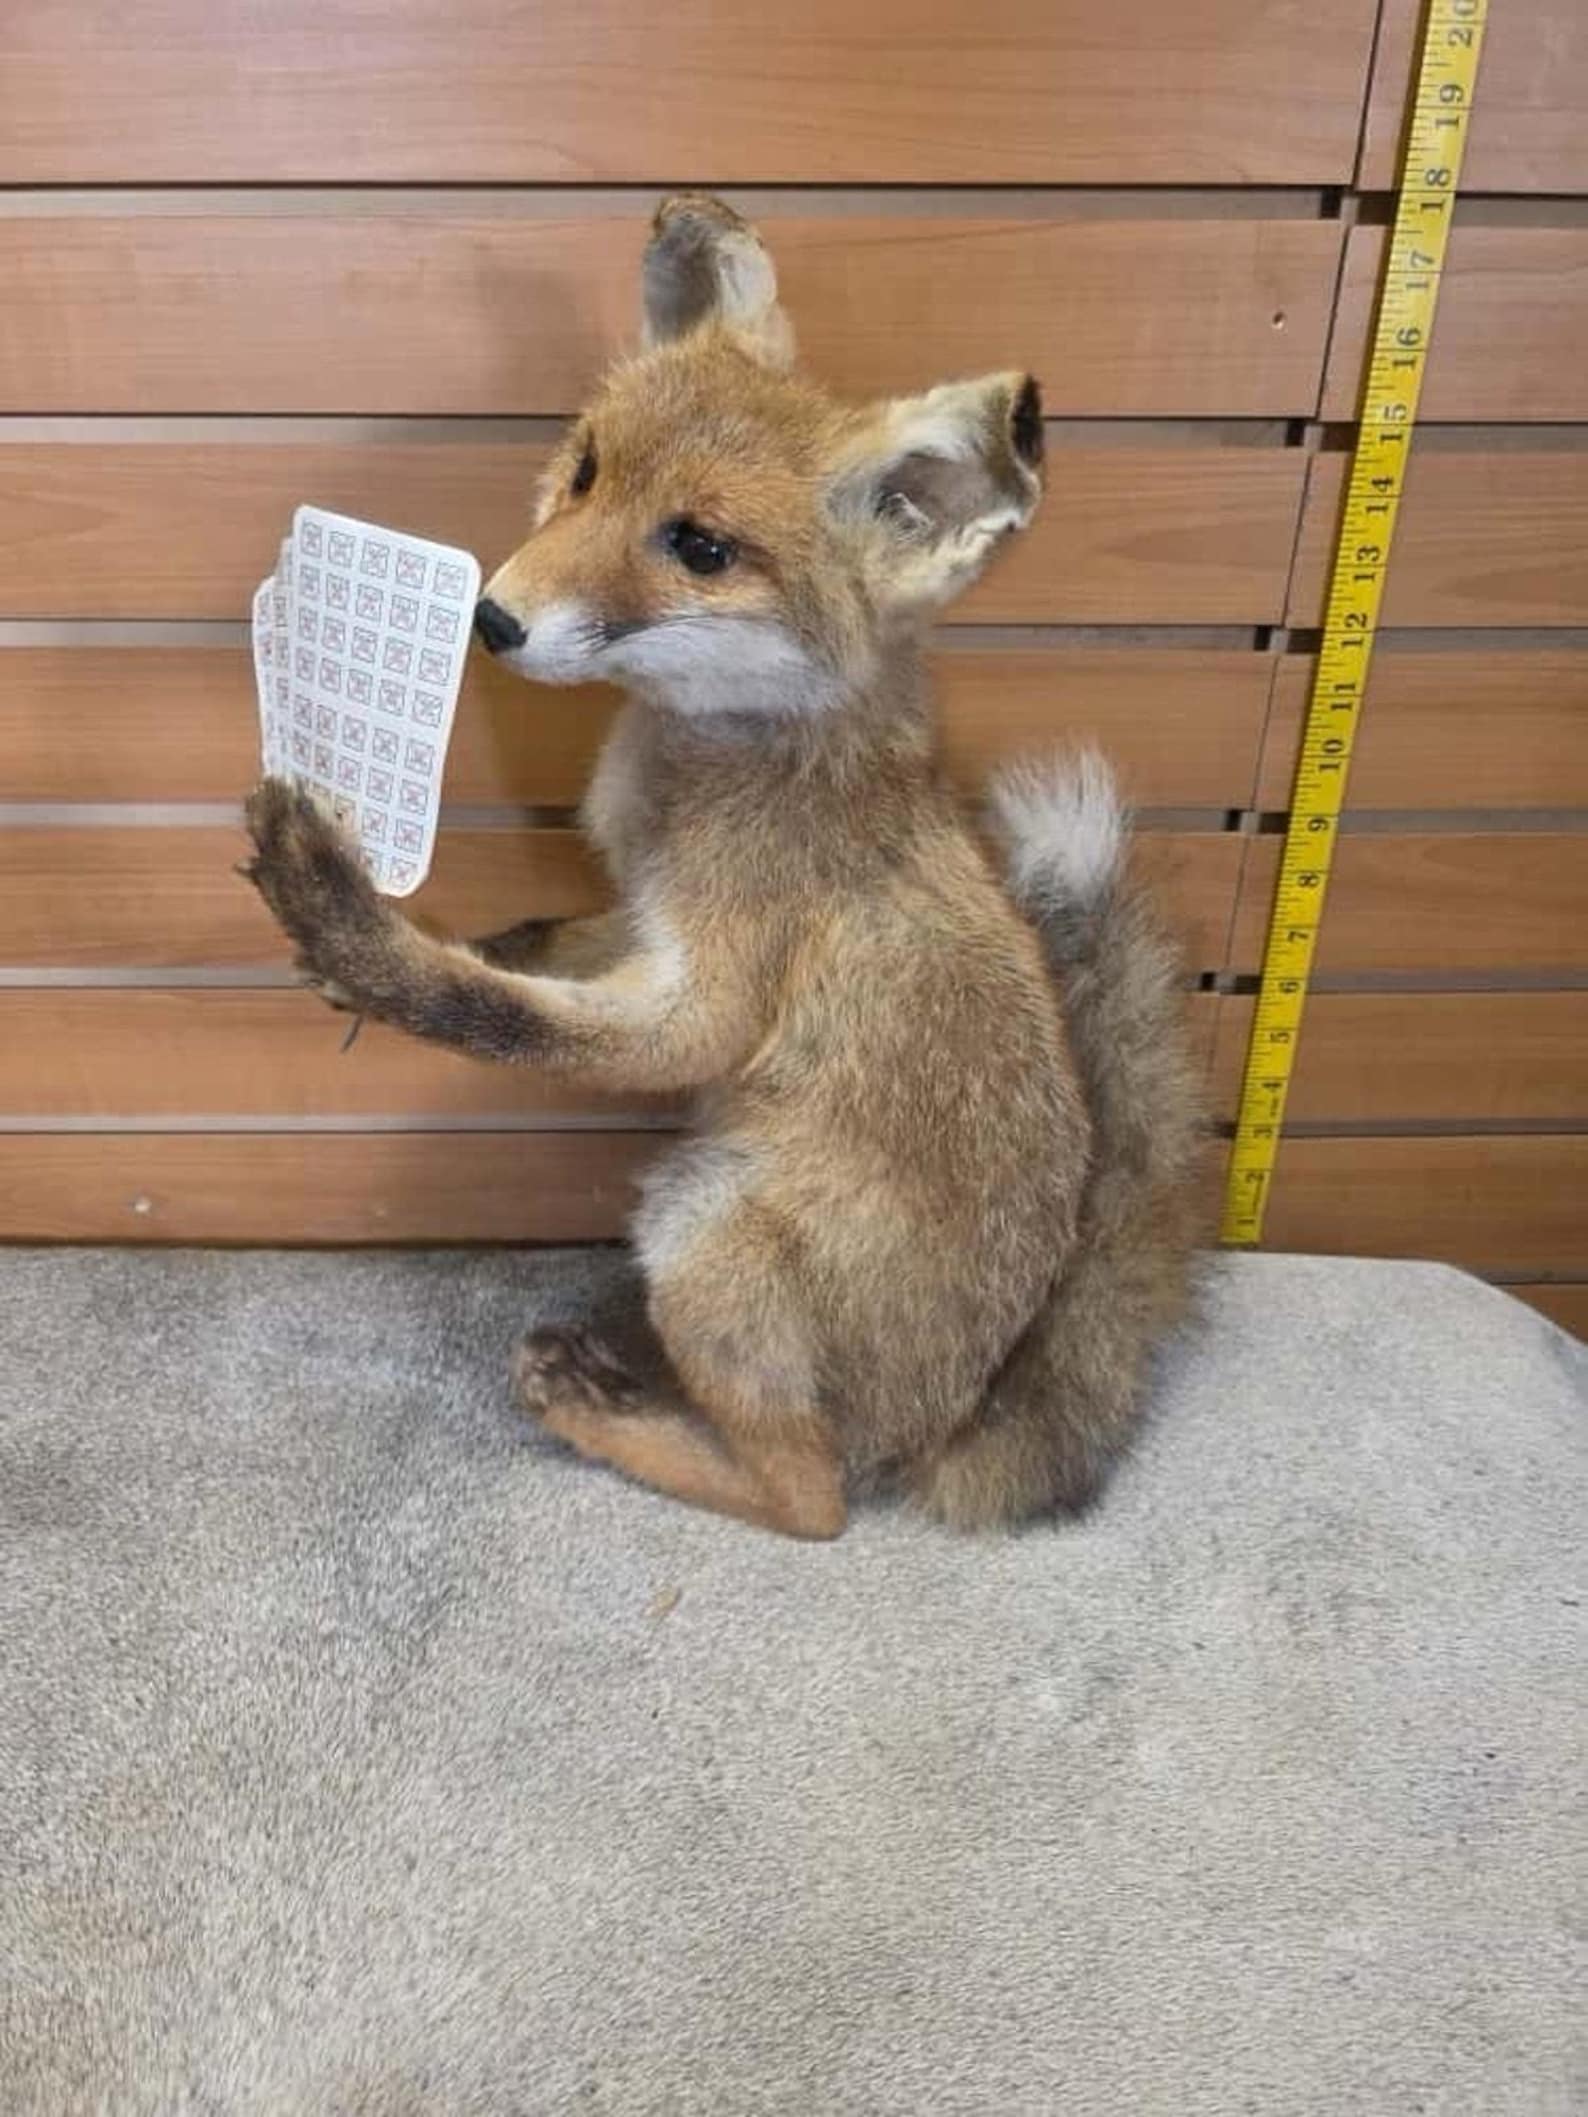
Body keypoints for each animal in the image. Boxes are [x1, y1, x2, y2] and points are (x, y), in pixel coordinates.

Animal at [242, 192, 1202, 1541]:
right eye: (587, 468)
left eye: (698, 546)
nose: (489, 616)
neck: (701, 776)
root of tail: (966, 1413)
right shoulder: (643, 914)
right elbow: (536, 951)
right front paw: (404, 955)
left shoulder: (713, 992)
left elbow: (513, 1017)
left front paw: (346, 926)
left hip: (702, 1223)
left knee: (811, 1496)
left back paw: (604, 1410)